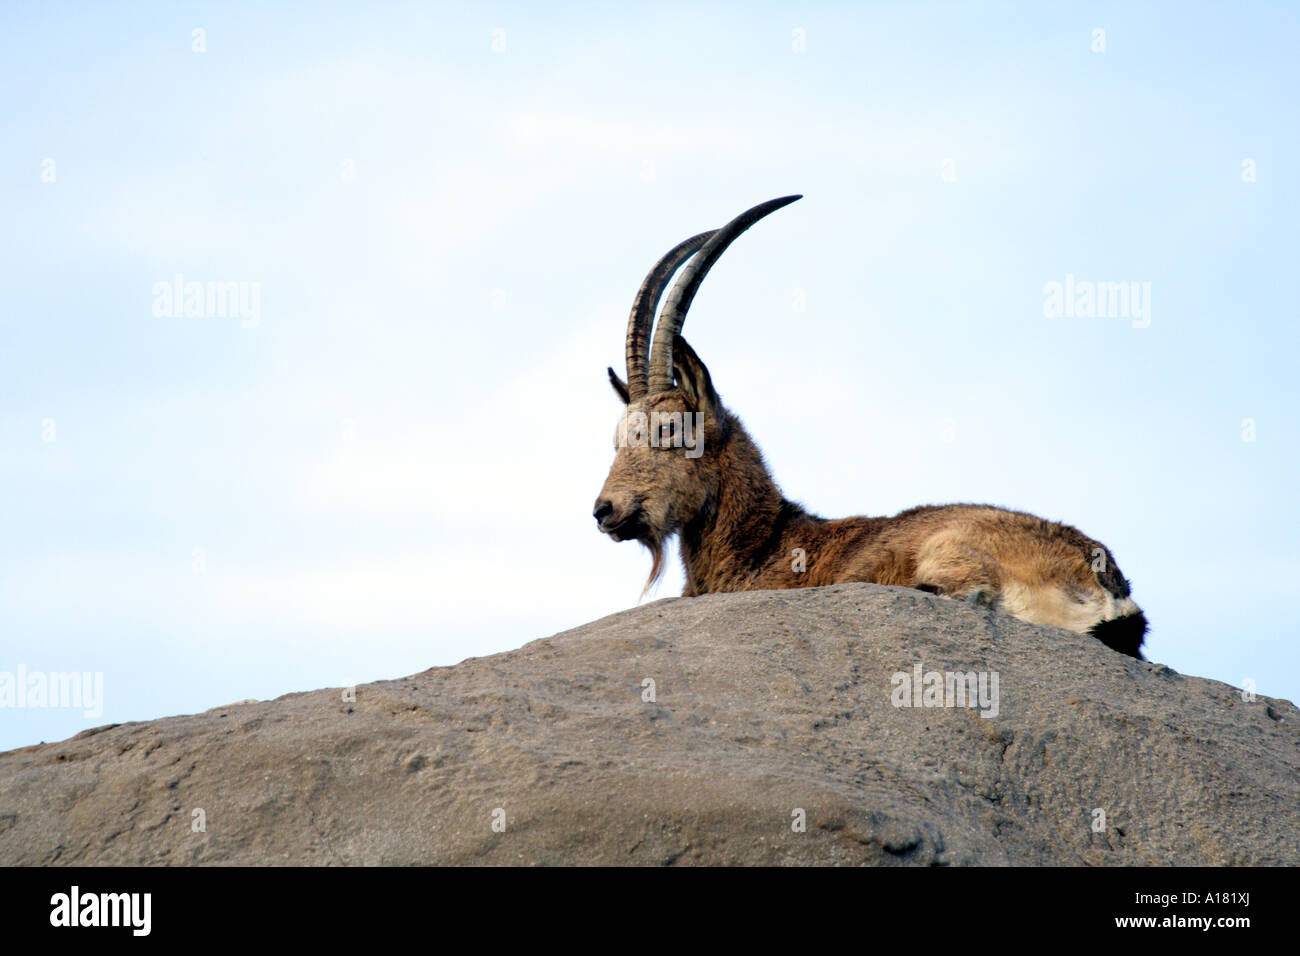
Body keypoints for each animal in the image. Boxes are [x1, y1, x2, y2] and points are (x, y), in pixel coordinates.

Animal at [594, 196, 1148, 658]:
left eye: (670, 429)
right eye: (617, 438)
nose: (605, 510)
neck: (764, 542)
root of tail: (1110, 588)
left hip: (953, 546)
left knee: (970, 593)